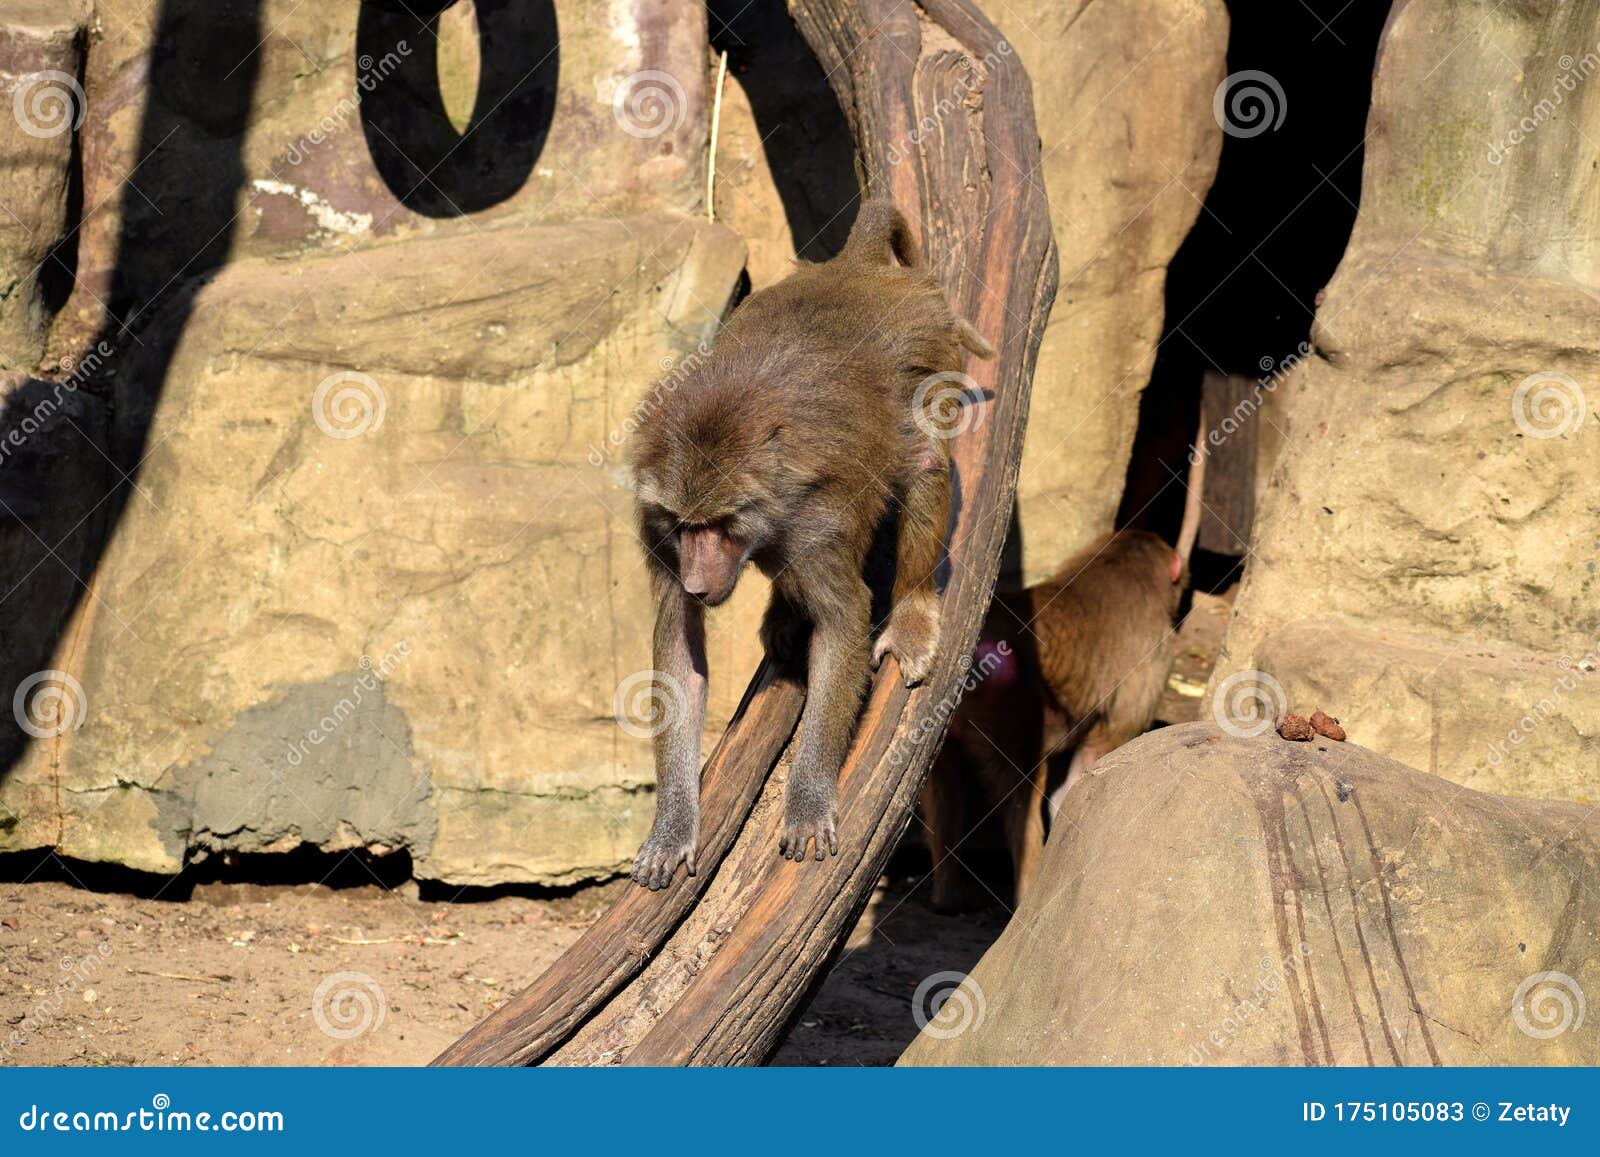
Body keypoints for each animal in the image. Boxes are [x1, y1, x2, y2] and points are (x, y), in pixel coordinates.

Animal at [626, 200, 994, 890]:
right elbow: (678, 640)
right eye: (686, 525)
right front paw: (672, 824)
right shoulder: (654, 524)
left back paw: (911, 615)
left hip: (929, 350)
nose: (698, 580)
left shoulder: (815, 530)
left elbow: (843, 619)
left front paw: (808, 800)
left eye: (721, 524)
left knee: (925, 458)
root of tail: (853, 274)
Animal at [920, 445, 1205, 912]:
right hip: (1012, 707)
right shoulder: (1147, 672)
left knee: (943, 785)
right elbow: (1090, 765)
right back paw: (1026, 893)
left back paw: (947, 897)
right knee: (1021, 796)